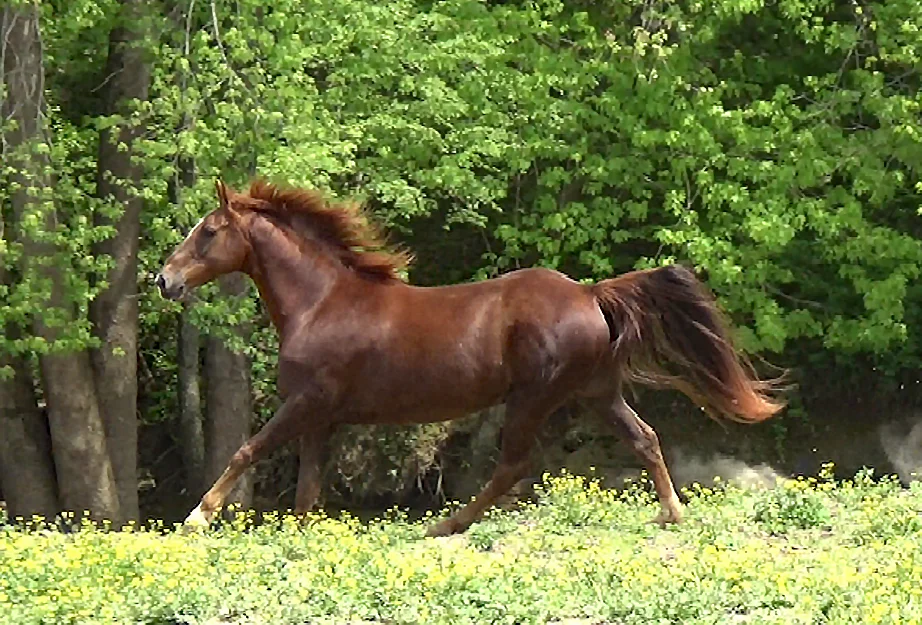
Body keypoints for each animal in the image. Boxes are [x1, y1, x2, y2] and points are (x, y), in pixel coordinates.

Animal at [156, 179, 785, 537]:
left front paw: (196, 517)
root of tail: (590, 294)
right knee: (646, 438)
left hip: (534, 397)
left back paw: (445, 524)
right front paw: (303, 537)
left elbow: (248, 450)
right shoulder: (321, 418)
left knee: (512, 464)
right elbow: (307, 489)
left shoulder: (306, 404)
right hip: (596, 393)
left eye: (209, 231)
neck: (322, 301)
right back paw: (671, 514)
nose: (165, 280)